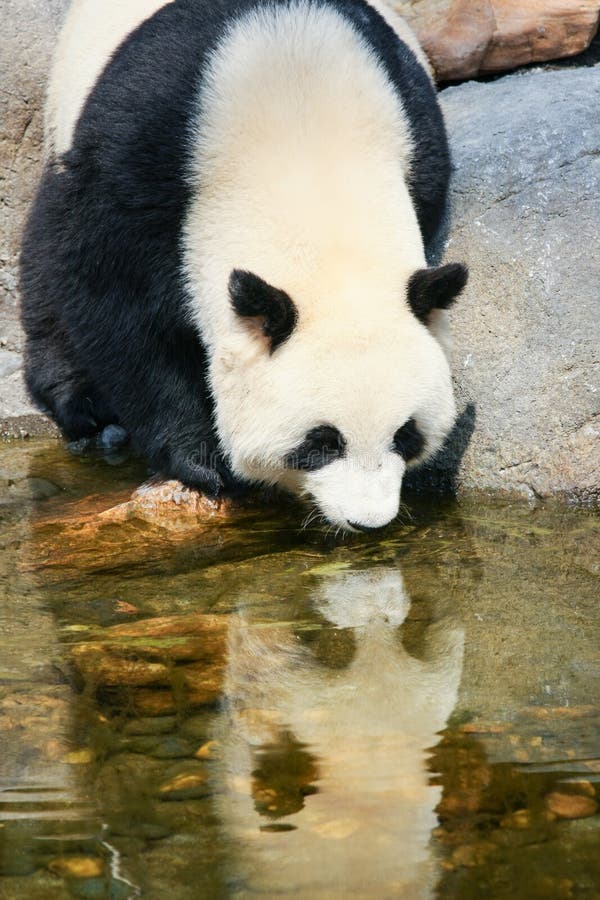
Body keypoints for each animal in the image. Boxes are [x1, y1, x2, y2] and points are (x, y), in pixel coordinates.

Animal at [20, 0, 468, 532]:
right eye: (321, 442)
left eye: (406, 435)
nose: (368, 521)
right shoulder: (146, 157)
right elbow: (114, 303)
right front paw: (199, 459)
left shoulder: (419, 146)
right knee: (47, 251)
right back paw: (85, 409)